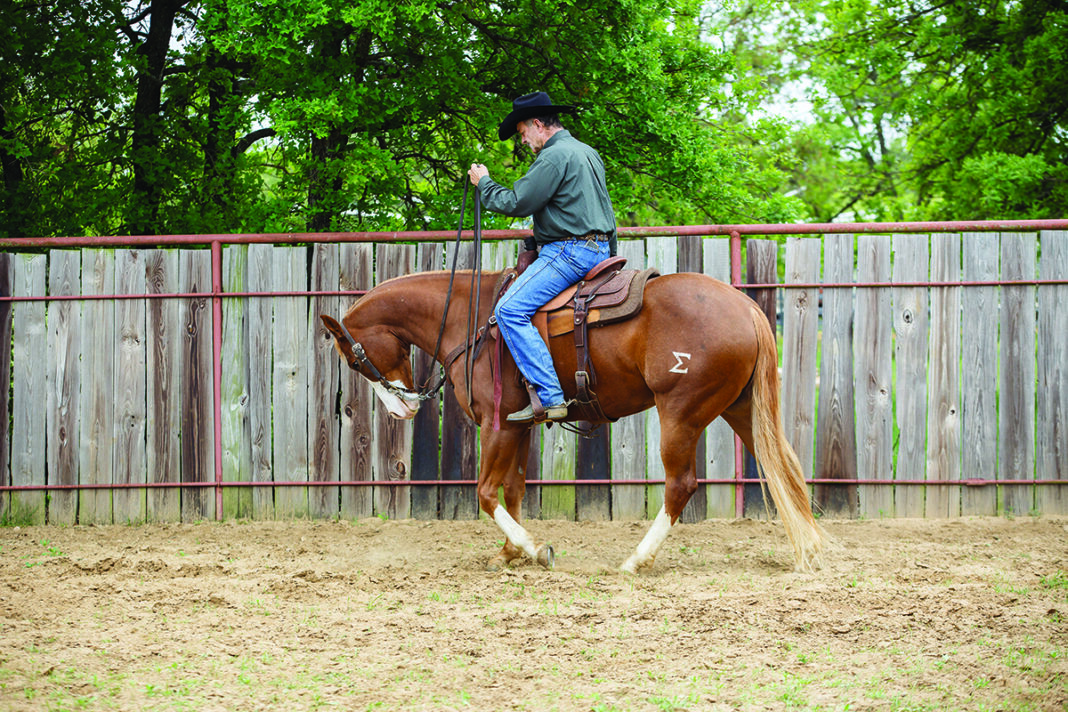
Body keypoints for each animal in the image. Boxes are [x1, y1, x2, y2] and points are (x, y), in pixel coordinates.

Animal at [321, 267, 825, 574]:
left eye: (352, 358)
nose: (403, 407)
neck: (474, 320)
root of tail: (746, 308)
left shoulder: (496, 424)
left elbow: (486, 493)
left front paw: (533, 549)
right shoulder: (519, 425)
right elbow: (514, 488)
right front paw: (511, 552)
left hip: (680, 414)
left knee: (680, 485)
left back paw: (635, 560)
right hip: (740, 409)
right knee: (785, 470)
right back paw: (809, 548)